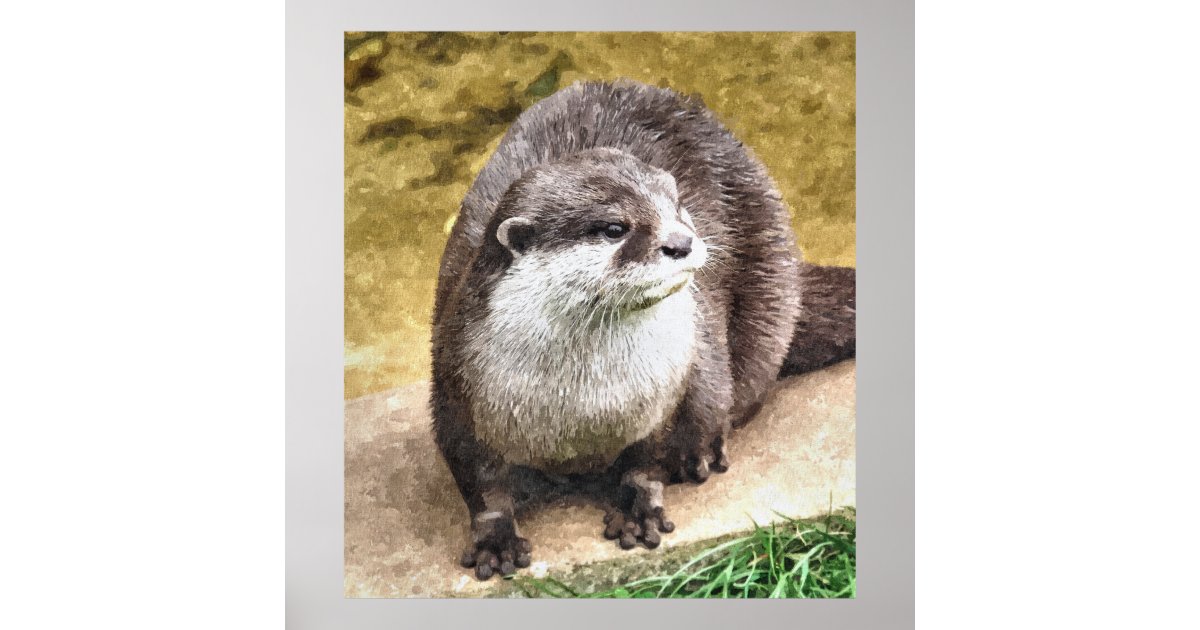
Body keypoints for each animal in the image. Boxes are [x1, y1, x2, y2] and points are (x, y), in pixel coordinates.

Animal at [430, 79, 855, 580]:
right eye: (615, 227)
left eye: (678, 207)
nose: (681, 241)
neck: (584, 408)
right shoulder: (457, 386)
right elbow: (481, 484)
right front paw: (495, 540)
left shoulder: (669, 391)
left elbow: (649, 461)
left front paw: (639, 510)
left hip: (768, 283)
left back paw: (705, 453)